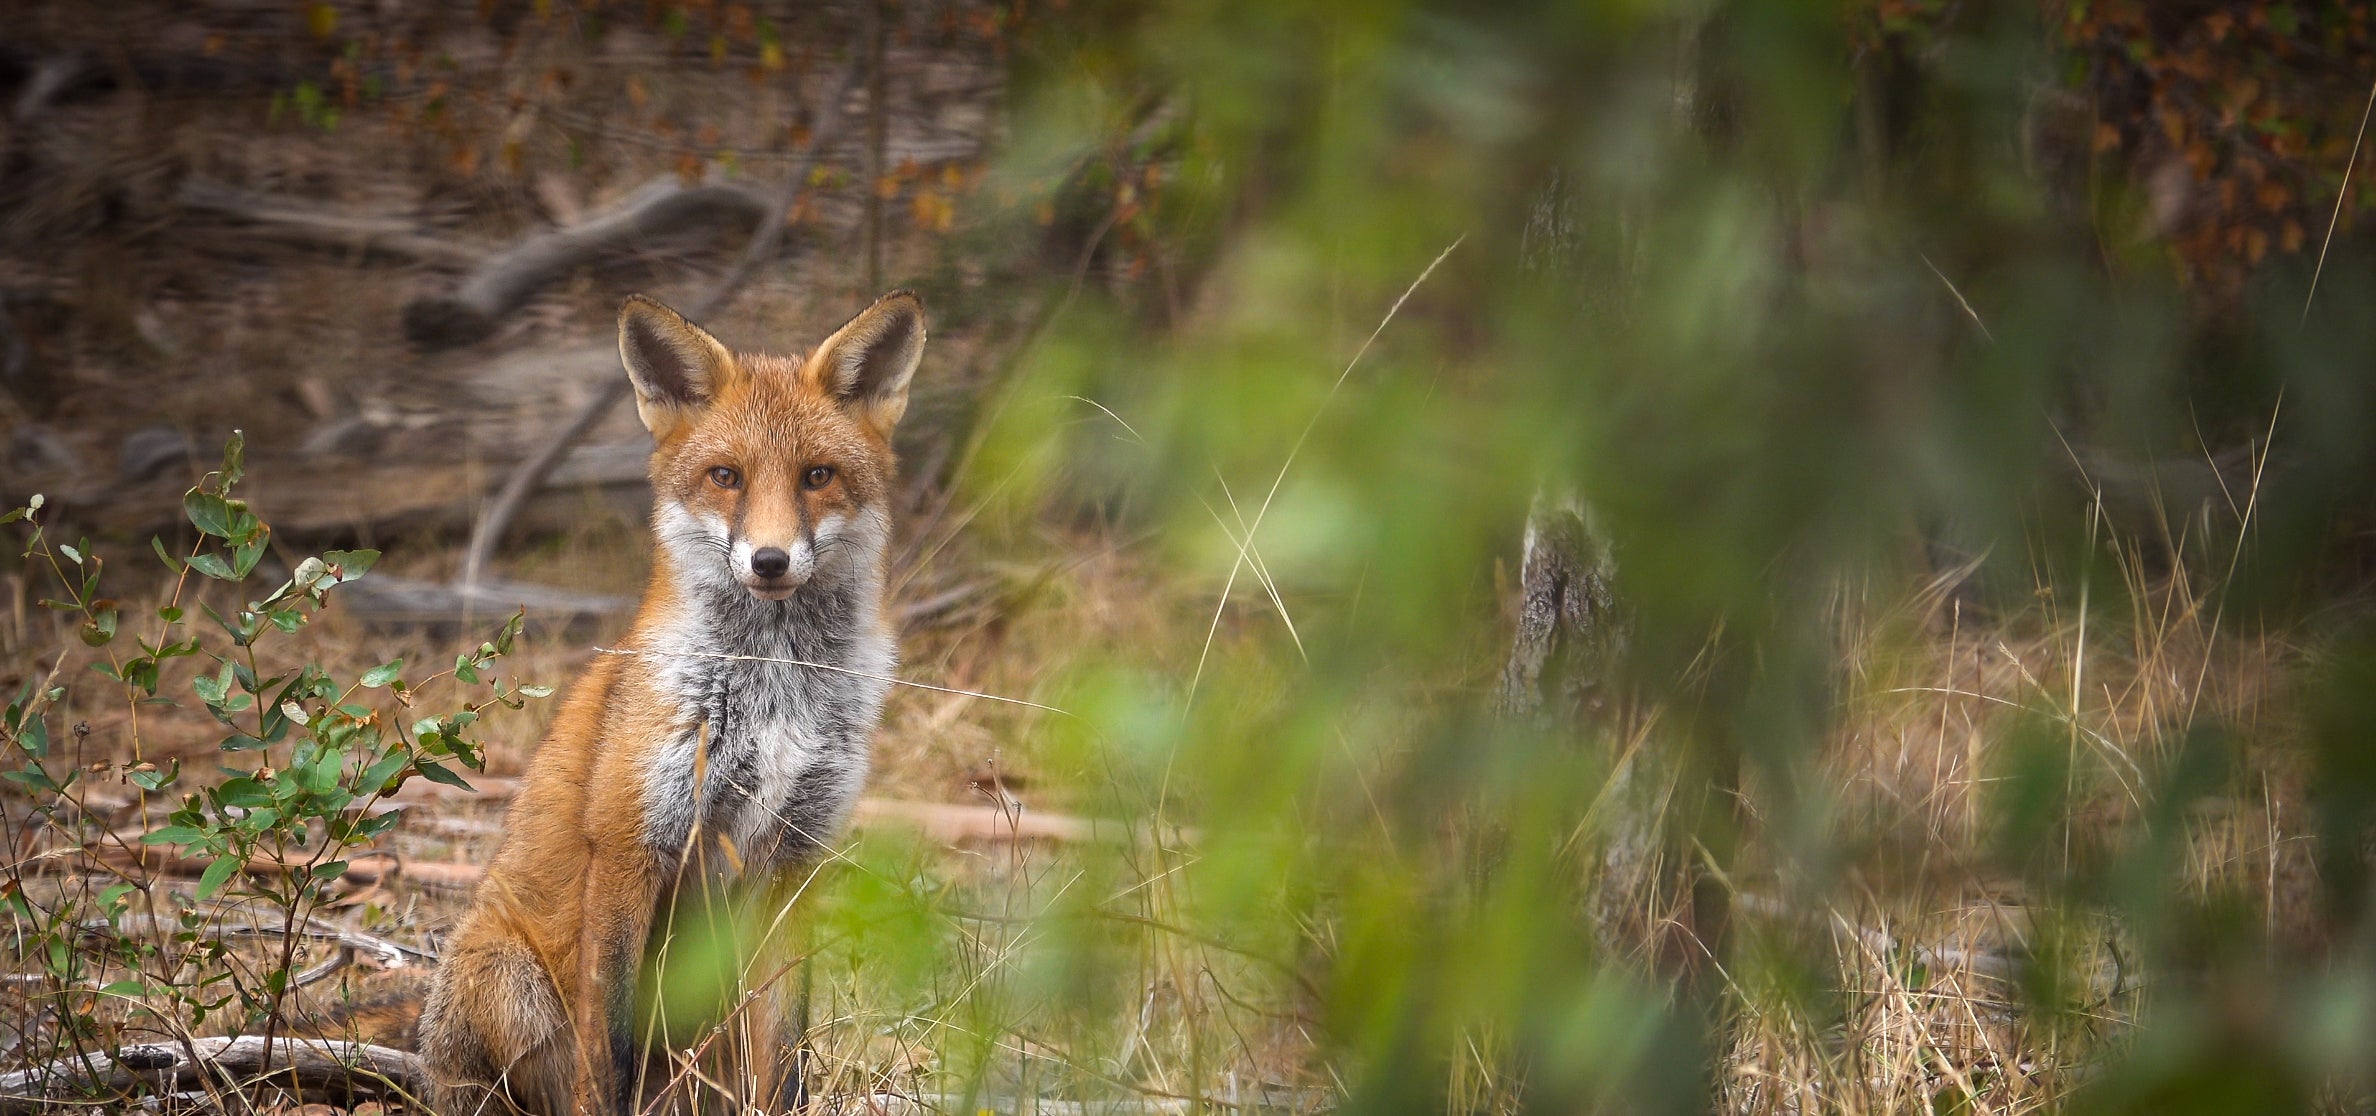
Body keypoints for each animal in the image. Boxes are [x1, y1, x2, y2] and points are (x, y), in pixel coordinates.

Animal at [415, 289, 927, 1116]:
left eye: (817, 476)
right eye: (726, 476)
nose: (770, 560)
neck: (774, 692)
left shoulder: (791, 863)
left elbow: (786, 1061)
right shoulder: (632, 847)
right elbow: (608, 1058)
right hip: (505, 977)